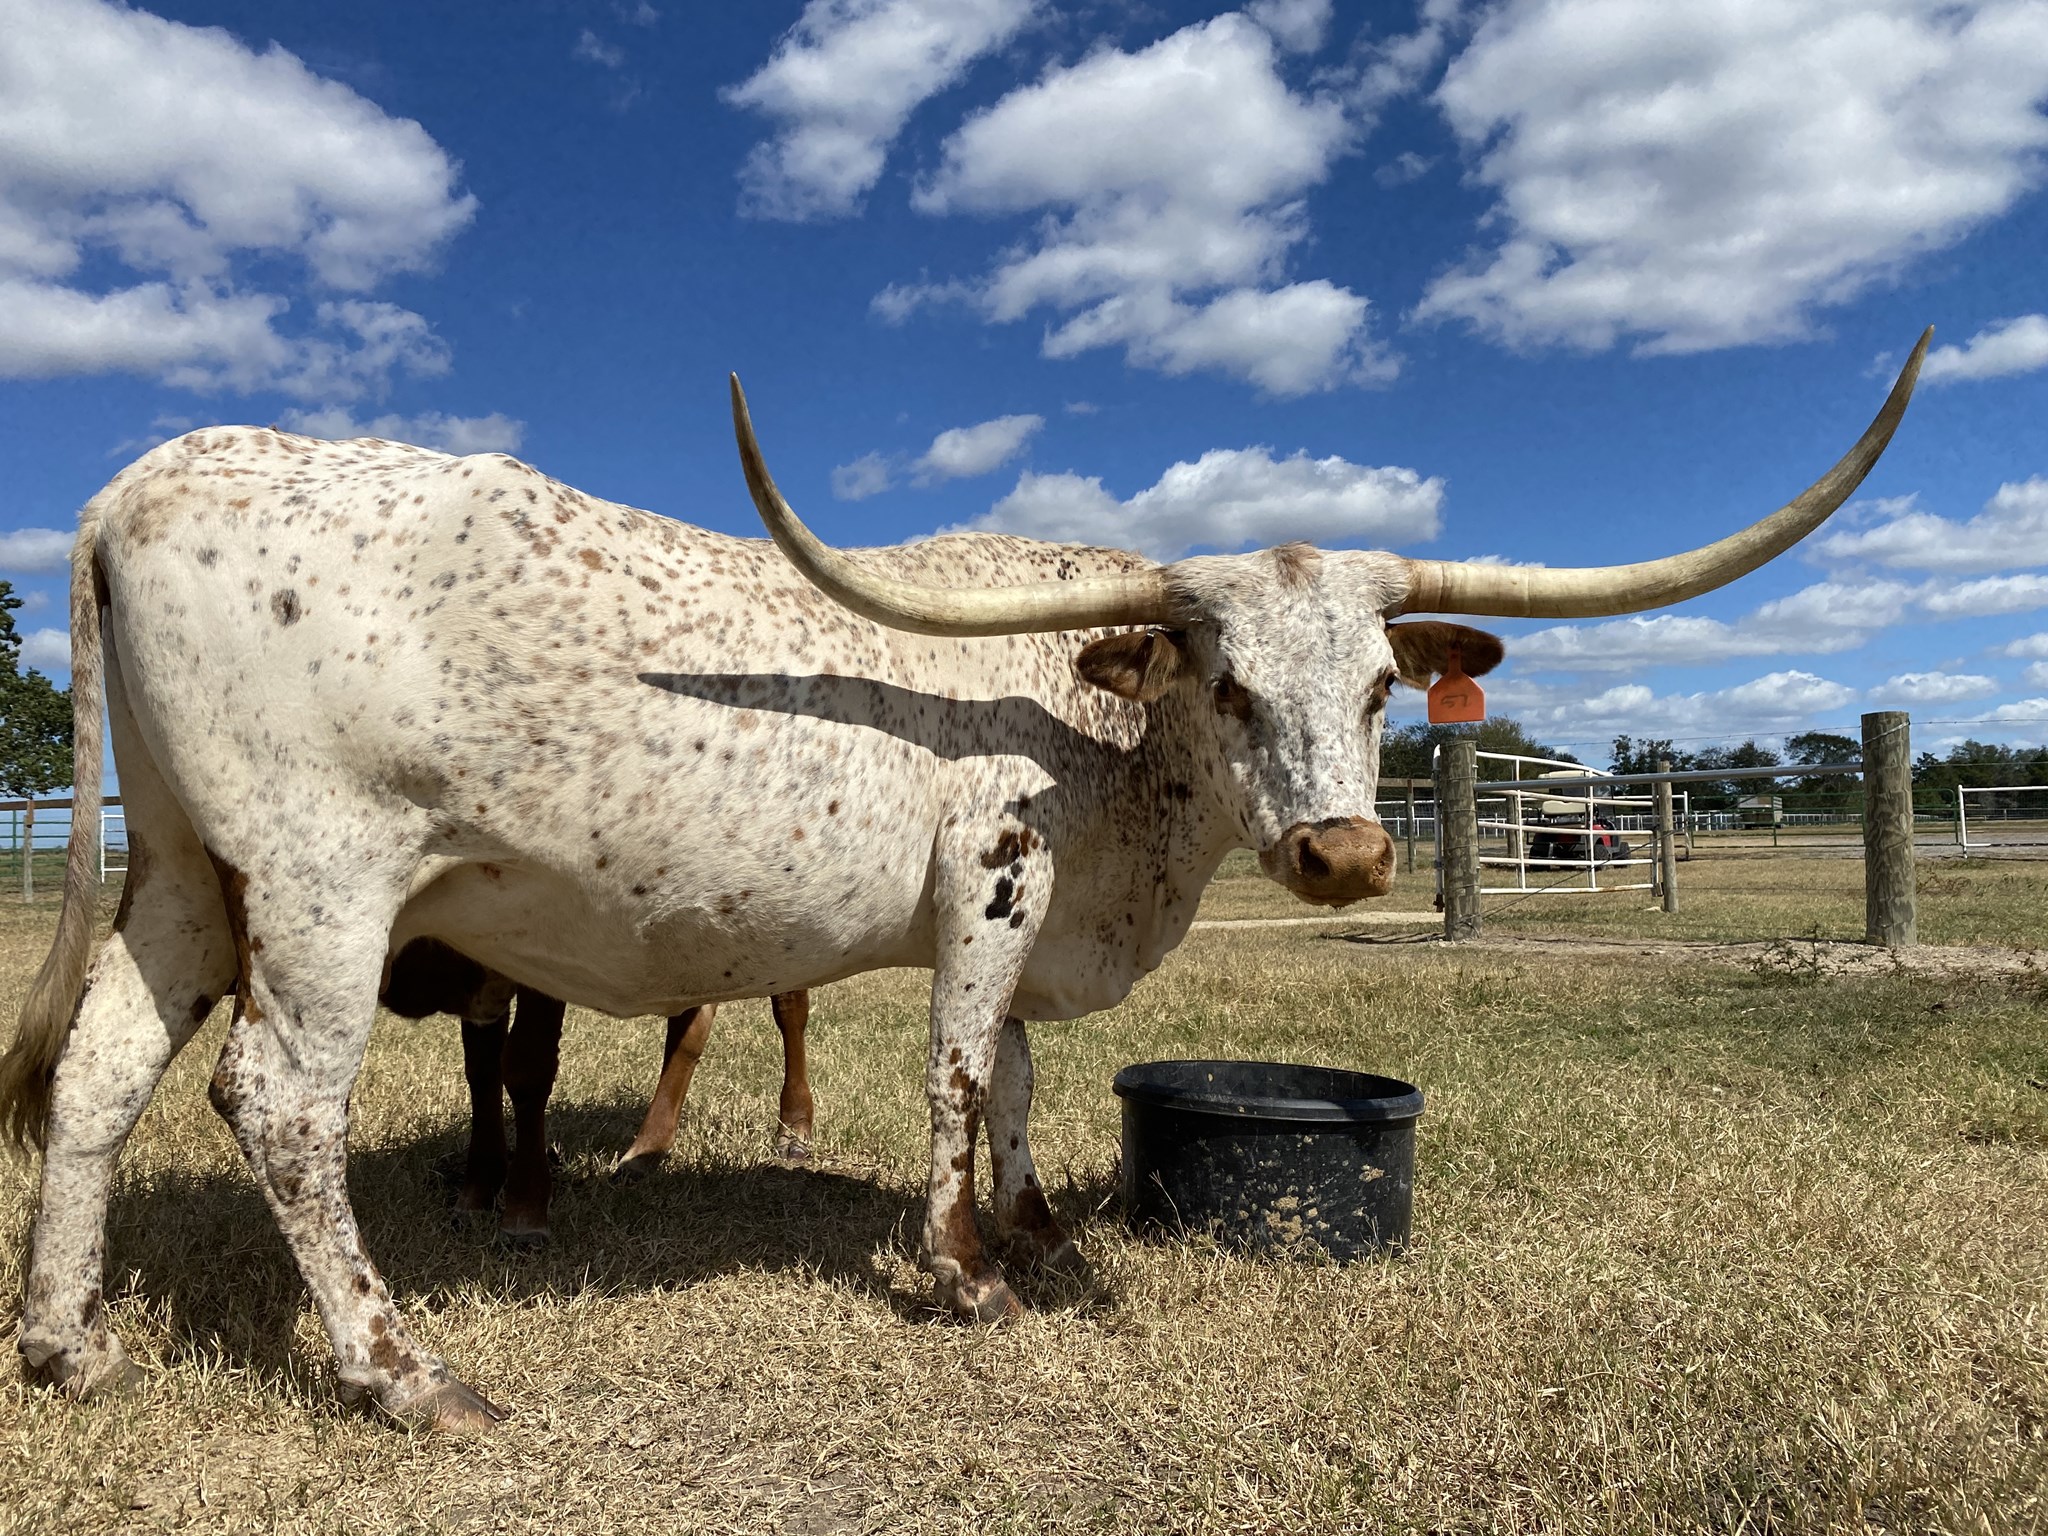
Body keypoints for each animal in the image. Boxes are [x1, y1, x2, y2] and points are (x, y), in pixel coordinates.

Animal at [0, 332, 1928, 1429]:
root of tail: (134, 484)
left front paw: (1033, 1219)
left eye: (1385, 686)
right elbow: (948, 1067)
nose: (1345, 851)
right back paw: (402, 1372)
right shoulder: (988, 886)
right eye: (1228, 683)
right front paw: (963, 1272)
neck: (1099, 729)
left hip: (187, 876)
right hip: (326, 883)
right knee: (277, 1104)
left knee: (96, 1081)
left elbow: (1011, 1078)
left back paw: (66, 1344)